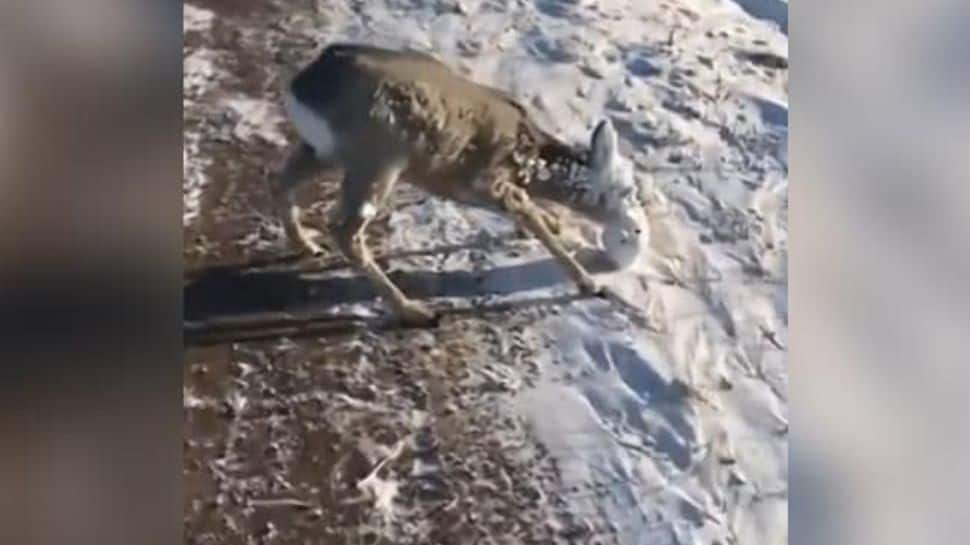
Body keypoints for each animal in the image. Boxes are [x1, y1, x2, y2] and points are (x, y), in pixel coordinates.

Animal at [271, 43, 649, 326]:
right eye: (627, 189)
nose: (637, 229)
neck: (530, 160)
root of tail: (303, 85)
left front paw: (554, 222)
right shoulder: (492, 183)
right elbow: (531, 217)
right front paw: (589, 284)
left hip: (326, 152)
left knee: (281, 179)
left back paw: (307, 245)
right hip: (379, 157)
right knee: (346, 231)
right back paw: (414, 312)